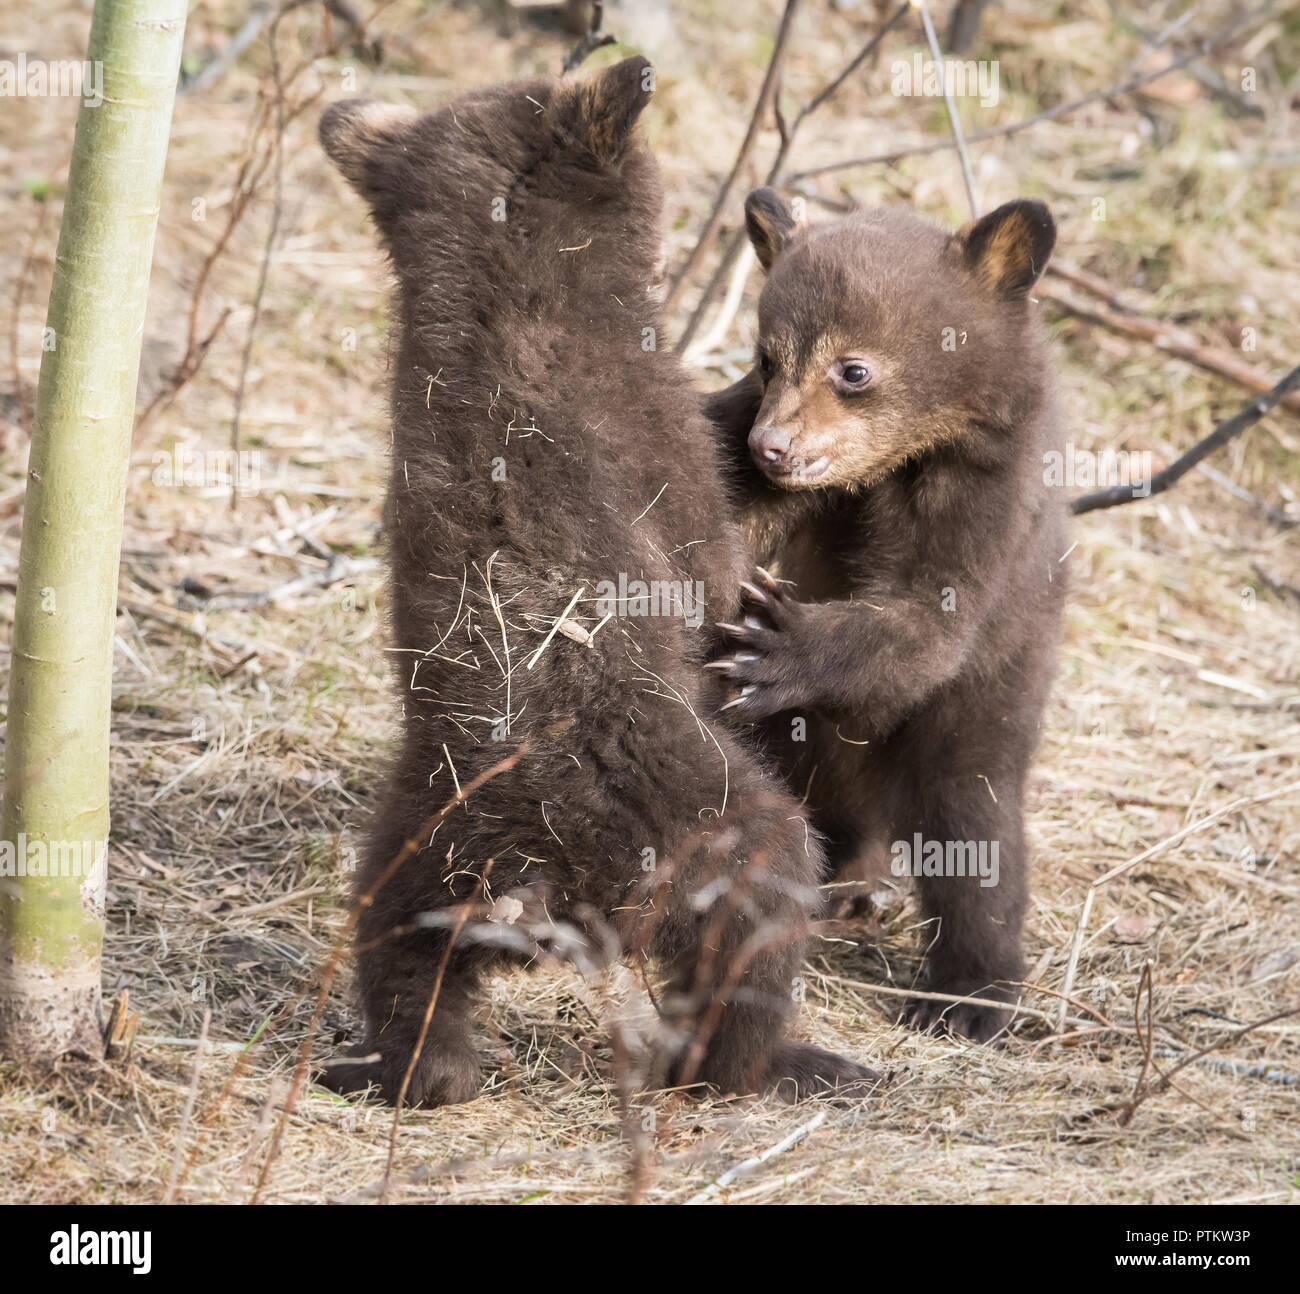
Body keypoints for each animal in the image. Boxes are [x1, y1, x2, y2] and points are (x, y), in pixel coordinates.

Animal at [314, 63, 876, 1106]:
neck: (508, 291)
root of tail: (538, 872)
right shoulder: (656, 451)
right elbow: (716, 552)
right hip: (695, 818)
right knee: (760, 907)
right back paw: (769, 1060)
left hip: (419, 839)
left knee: (399, 953)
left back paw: (407, 1064)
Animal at [703, 188, 1069, 1042]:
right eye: (766, 358)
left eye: (853, 368)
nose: (774, 446)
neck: (898, 468)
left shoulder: (986, 504)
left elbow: (925, 624)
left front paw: (776, 643)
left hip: (984, 705)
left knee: (976, 824)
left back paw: (972, 995)